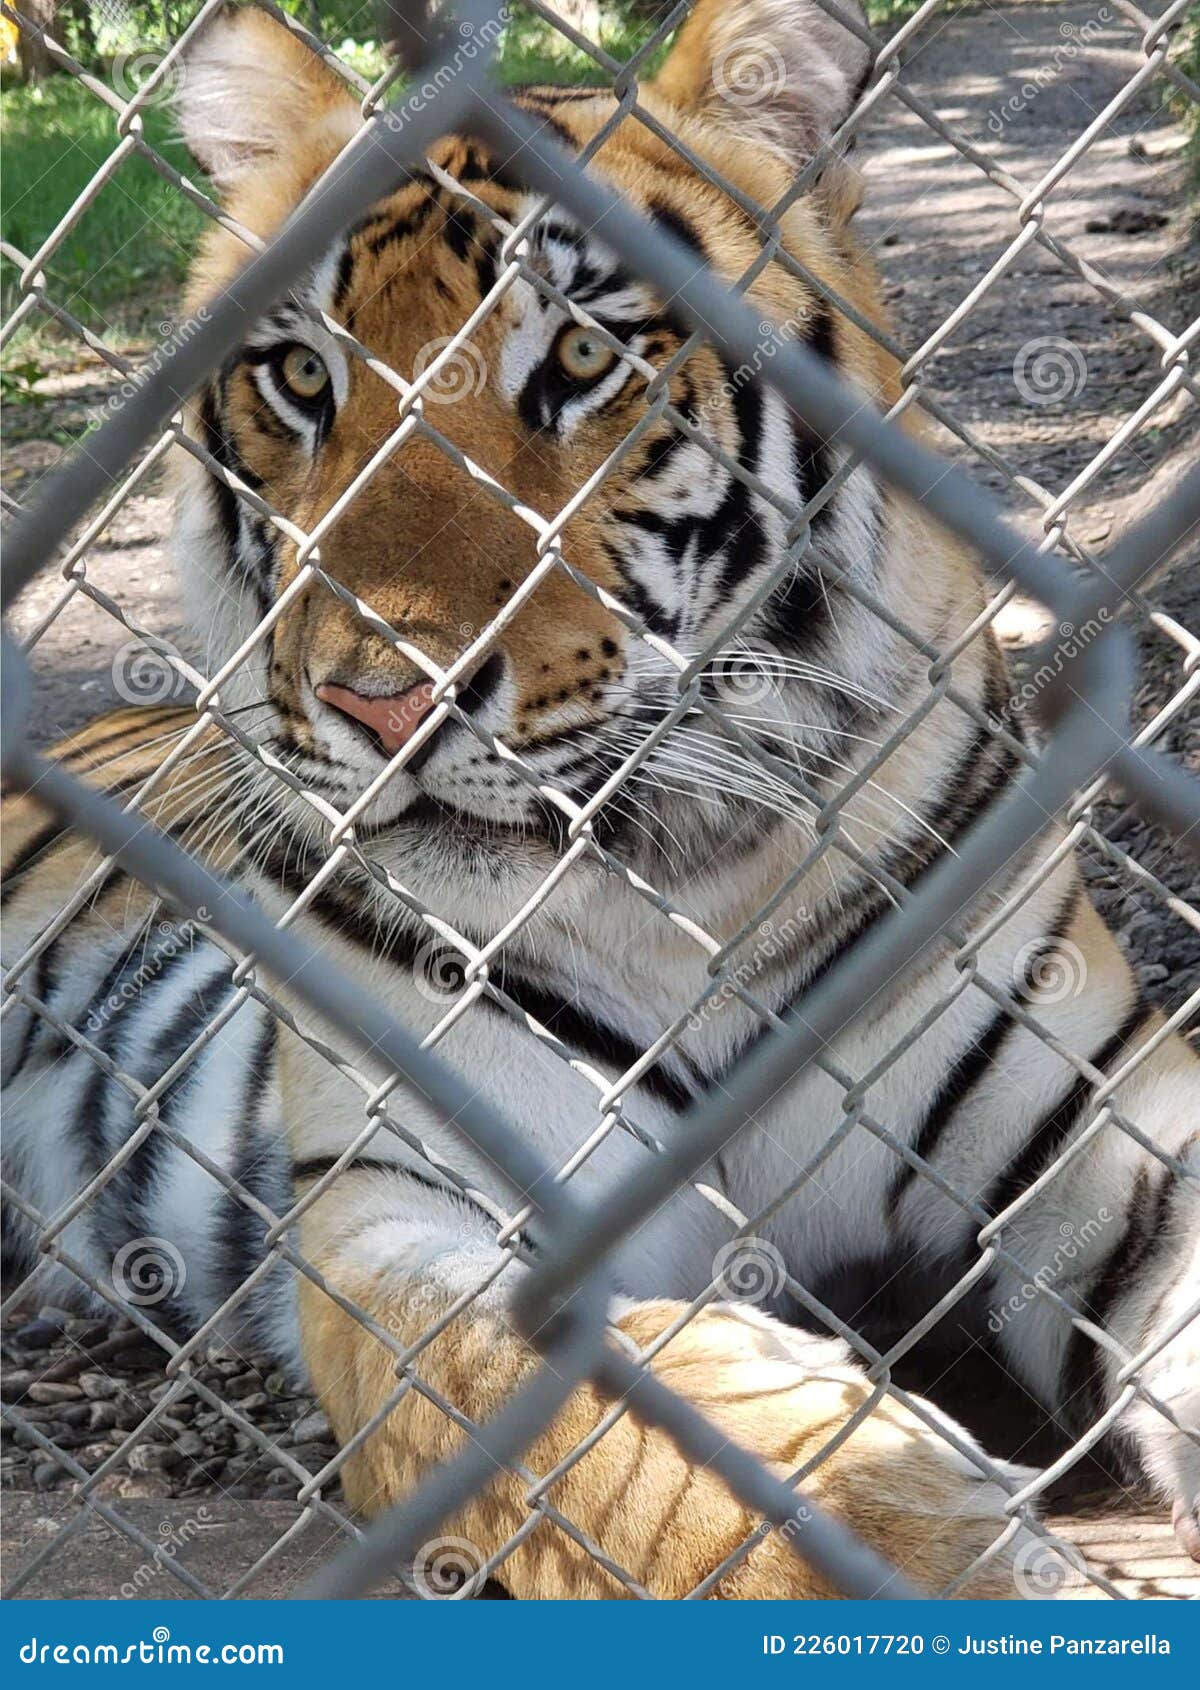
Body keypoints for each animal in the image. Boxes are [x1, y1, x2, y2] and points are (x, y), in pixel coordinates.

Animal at [3, 0, 1198, 1599]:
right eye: (304, 380)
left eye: (575, 359)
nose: (381, 701)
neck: (687, 879)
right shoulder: (393, 1208)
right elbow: (598, 1427)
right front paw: (944, 1541)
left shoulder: (1102, 1114)